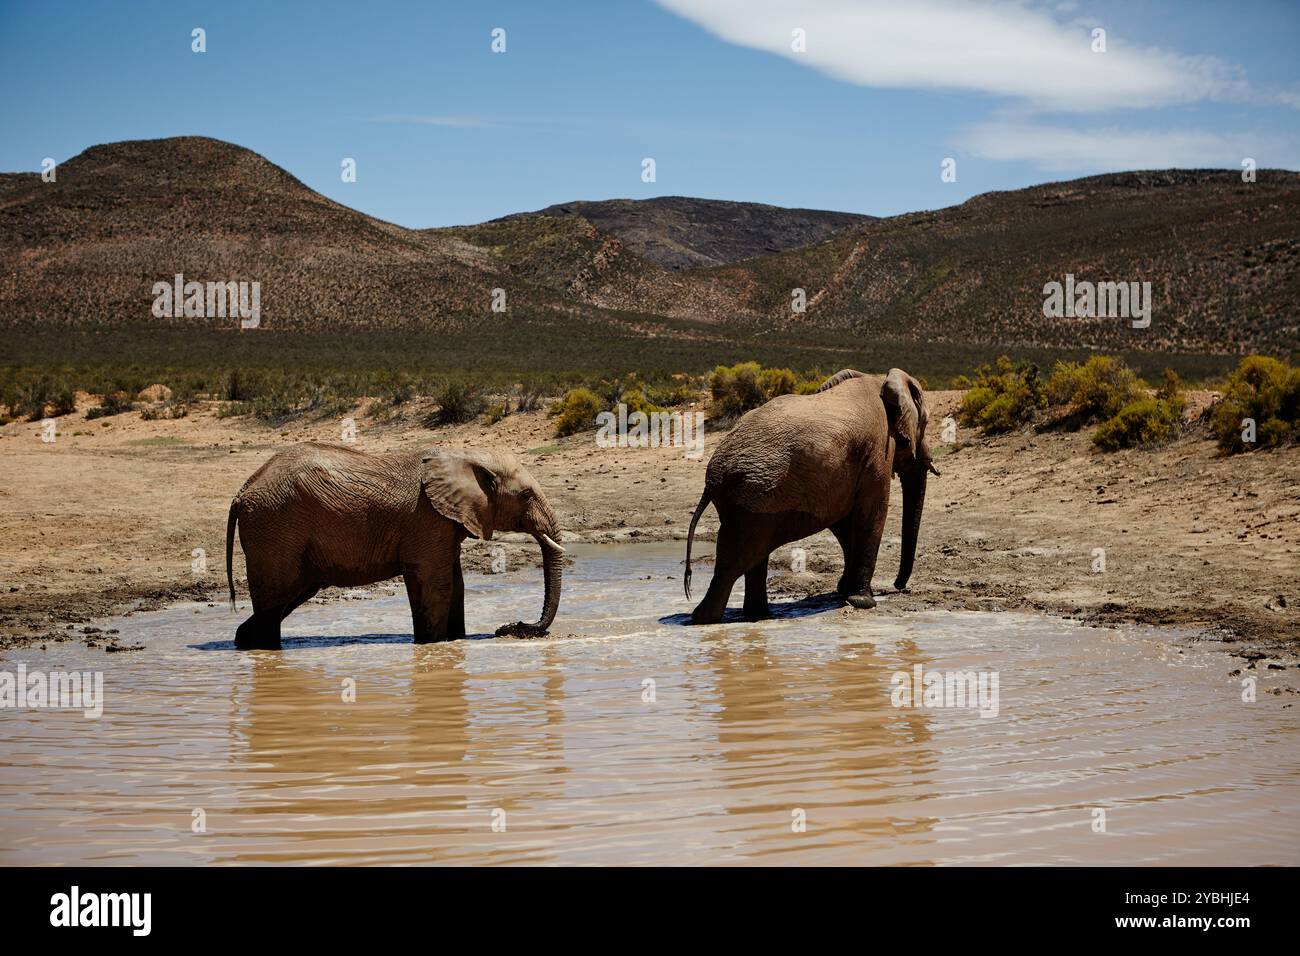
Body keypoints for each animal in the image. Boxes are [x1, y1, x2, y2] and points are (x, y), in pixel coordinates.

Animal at [224, 443, 564, 649]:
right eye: (526, 496)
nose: (507, 627)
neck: (463, 456)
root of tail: (242, 491)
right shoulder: (428, 521)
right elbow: (435, 584)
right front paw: (433, 644)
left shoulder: (444, 523)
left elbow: (456, 584)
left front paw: (454, 641)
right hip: (275, 525)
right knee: (274, 599)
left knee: (286, 597)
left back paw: (247, 643)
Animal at [684, 368, 937, 624]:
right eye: (925, 423)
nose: (899, 586)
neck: (879, 379)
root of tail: (714, 476)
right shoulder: (877, 448)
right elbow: (871, 513)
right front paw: (863, 602)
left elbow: (843, 520)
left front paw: (845, 593)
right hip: (751, 495)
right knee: (736, 558)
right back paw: (704, 618)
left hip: (750, 500)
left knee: (754, 555)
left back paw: (757, 615)